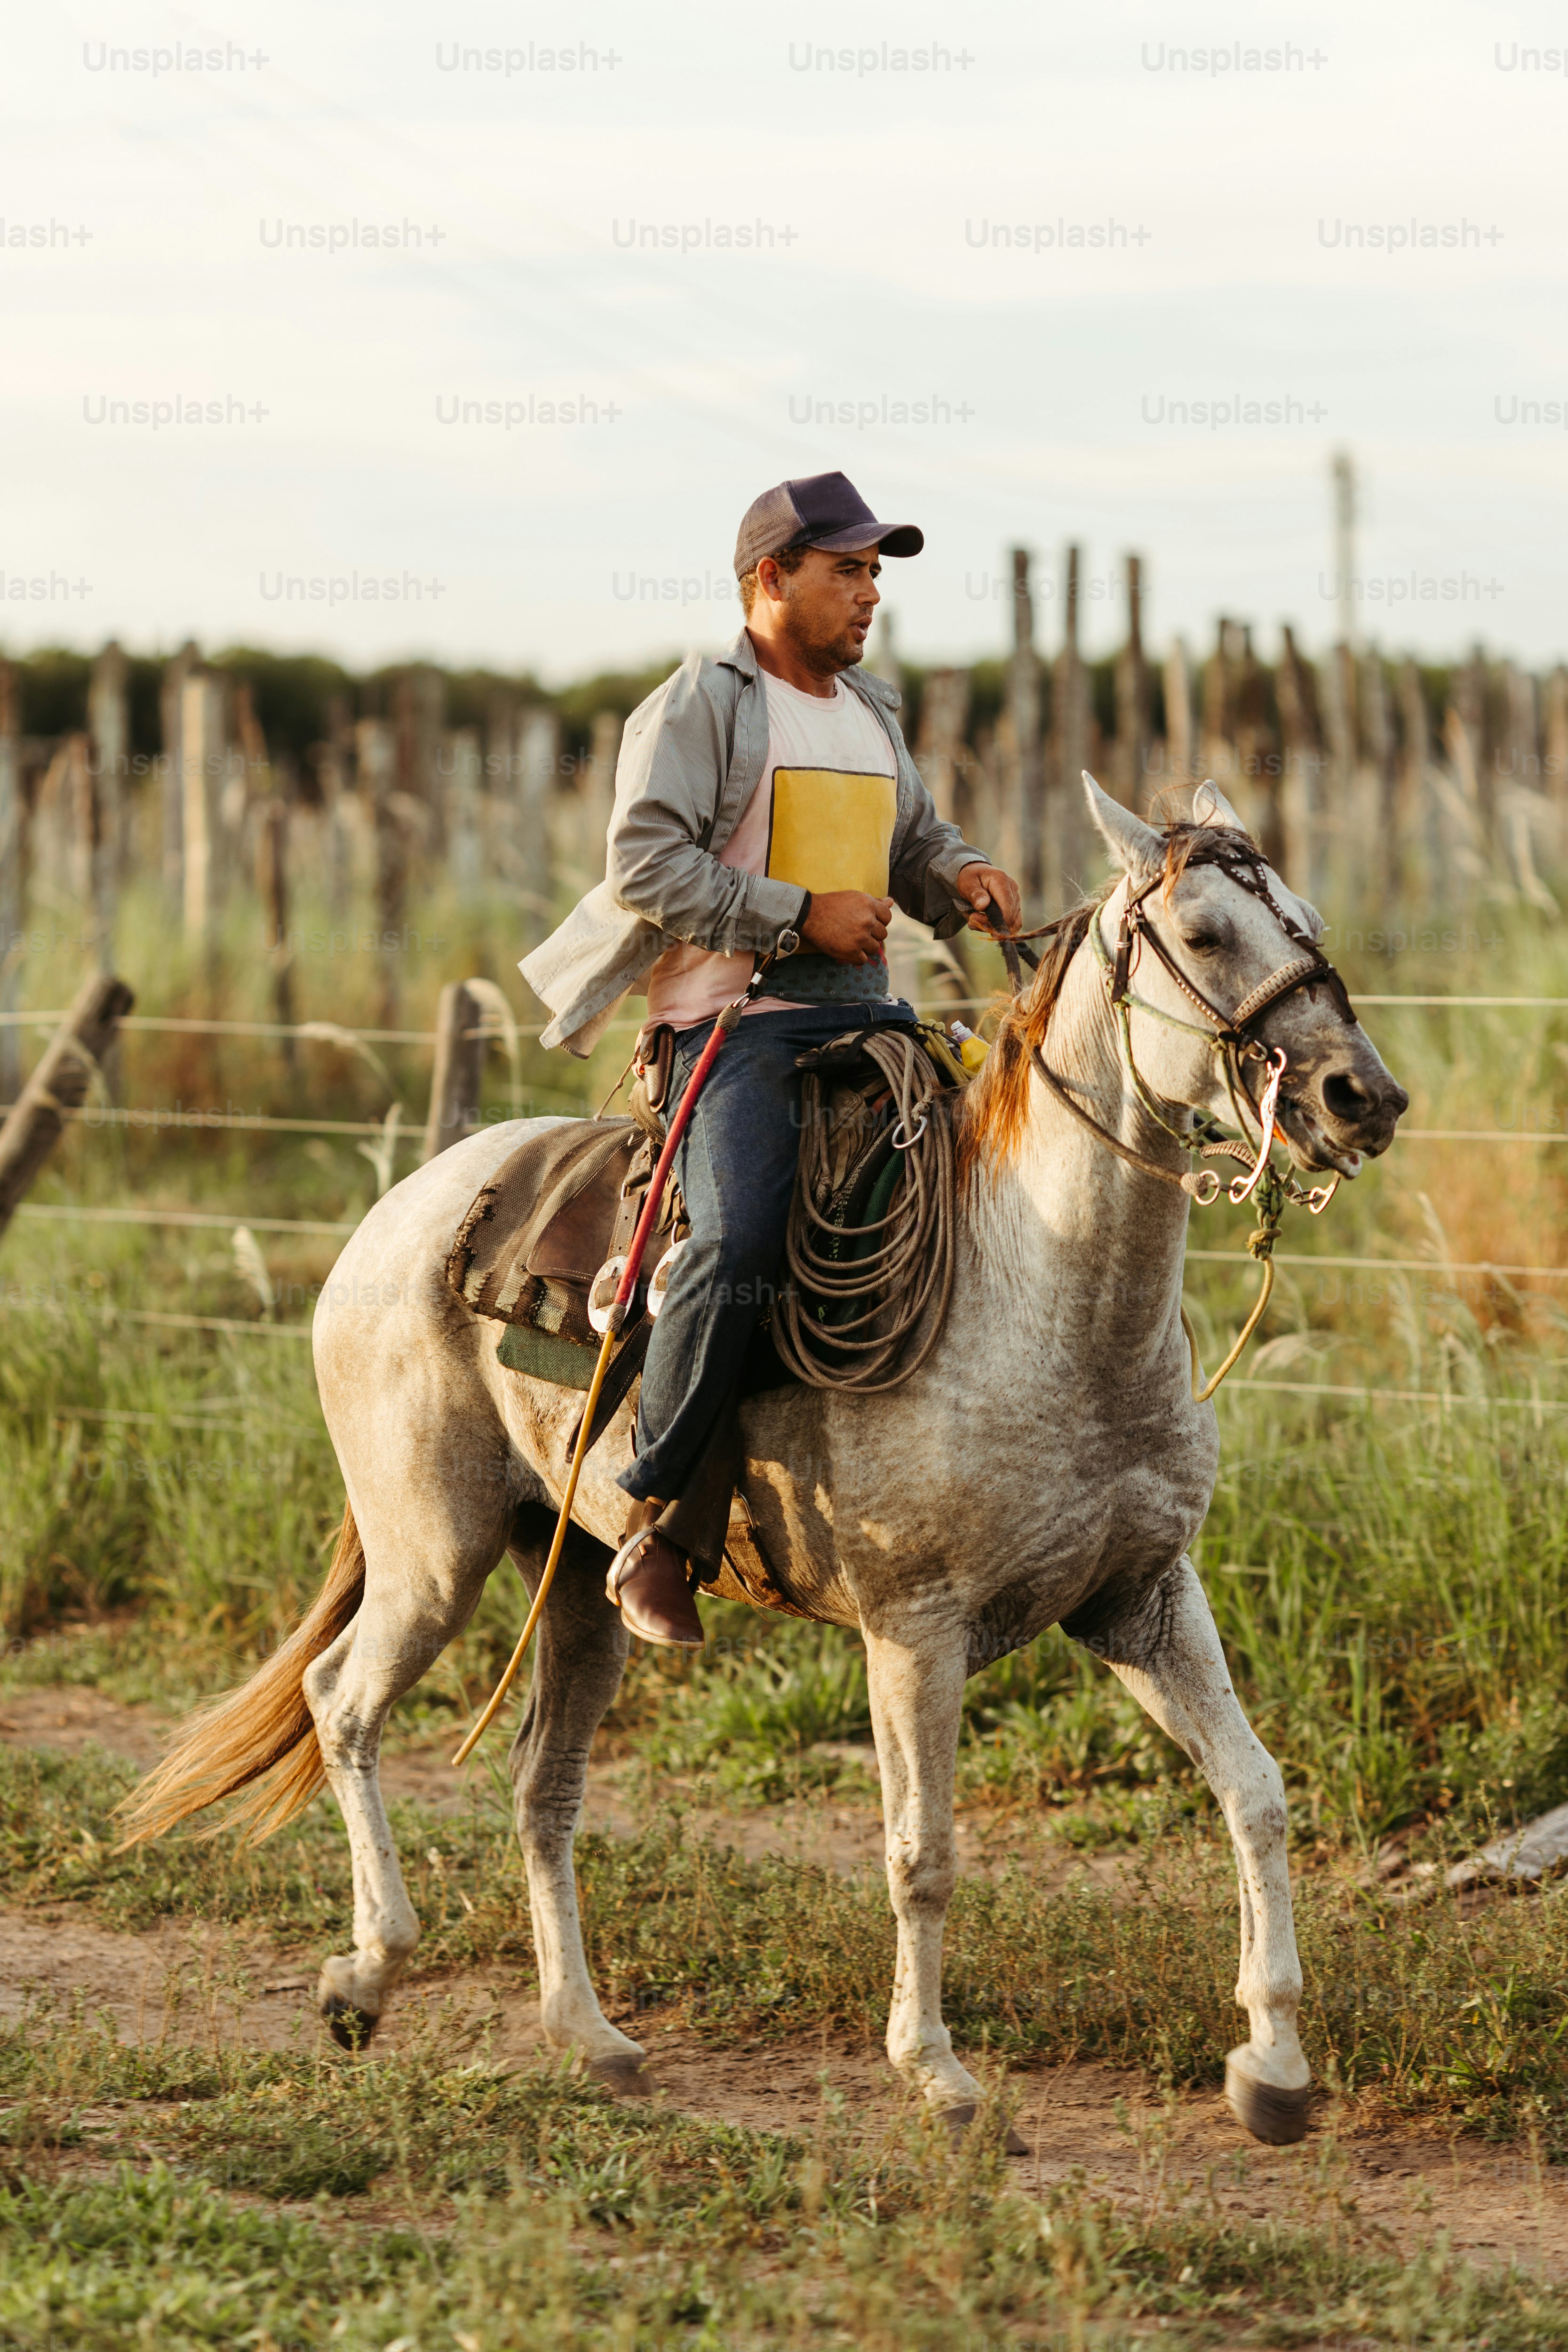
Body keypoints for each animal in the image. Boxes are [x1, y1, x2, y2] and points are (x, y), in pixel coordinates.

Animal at [121, 777, 1406, 2147]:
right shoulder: (915, 1629)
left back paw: (588, 2034)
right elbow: (921, 1853)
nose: (1360, 1098)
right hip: (432, 1554)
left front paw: (1271, 2062)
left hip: (571, 1583)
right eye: (1207, 934)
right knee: (344, 1707)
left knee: (541, 1786)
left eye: (1308, 920)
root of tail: (402, 1209)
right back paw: (367, 1974)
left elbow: (1256, 1794)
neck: (1042, 1294)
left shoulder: (1141, 1602)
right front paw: (937, 2074)